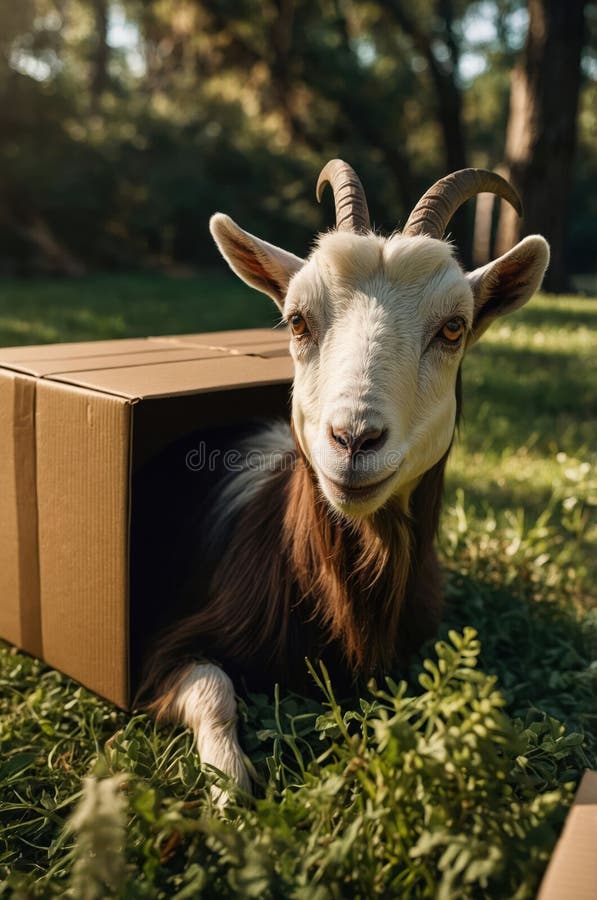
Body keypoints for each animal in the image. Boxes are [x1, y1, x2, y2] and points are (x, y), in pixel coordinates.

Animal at [141, 160, 549, 800]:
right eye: (297, 321)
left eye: (453, 328)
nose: (354, 440)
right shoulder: (164, 650)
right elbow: (213, 689)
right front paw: (231, 785)